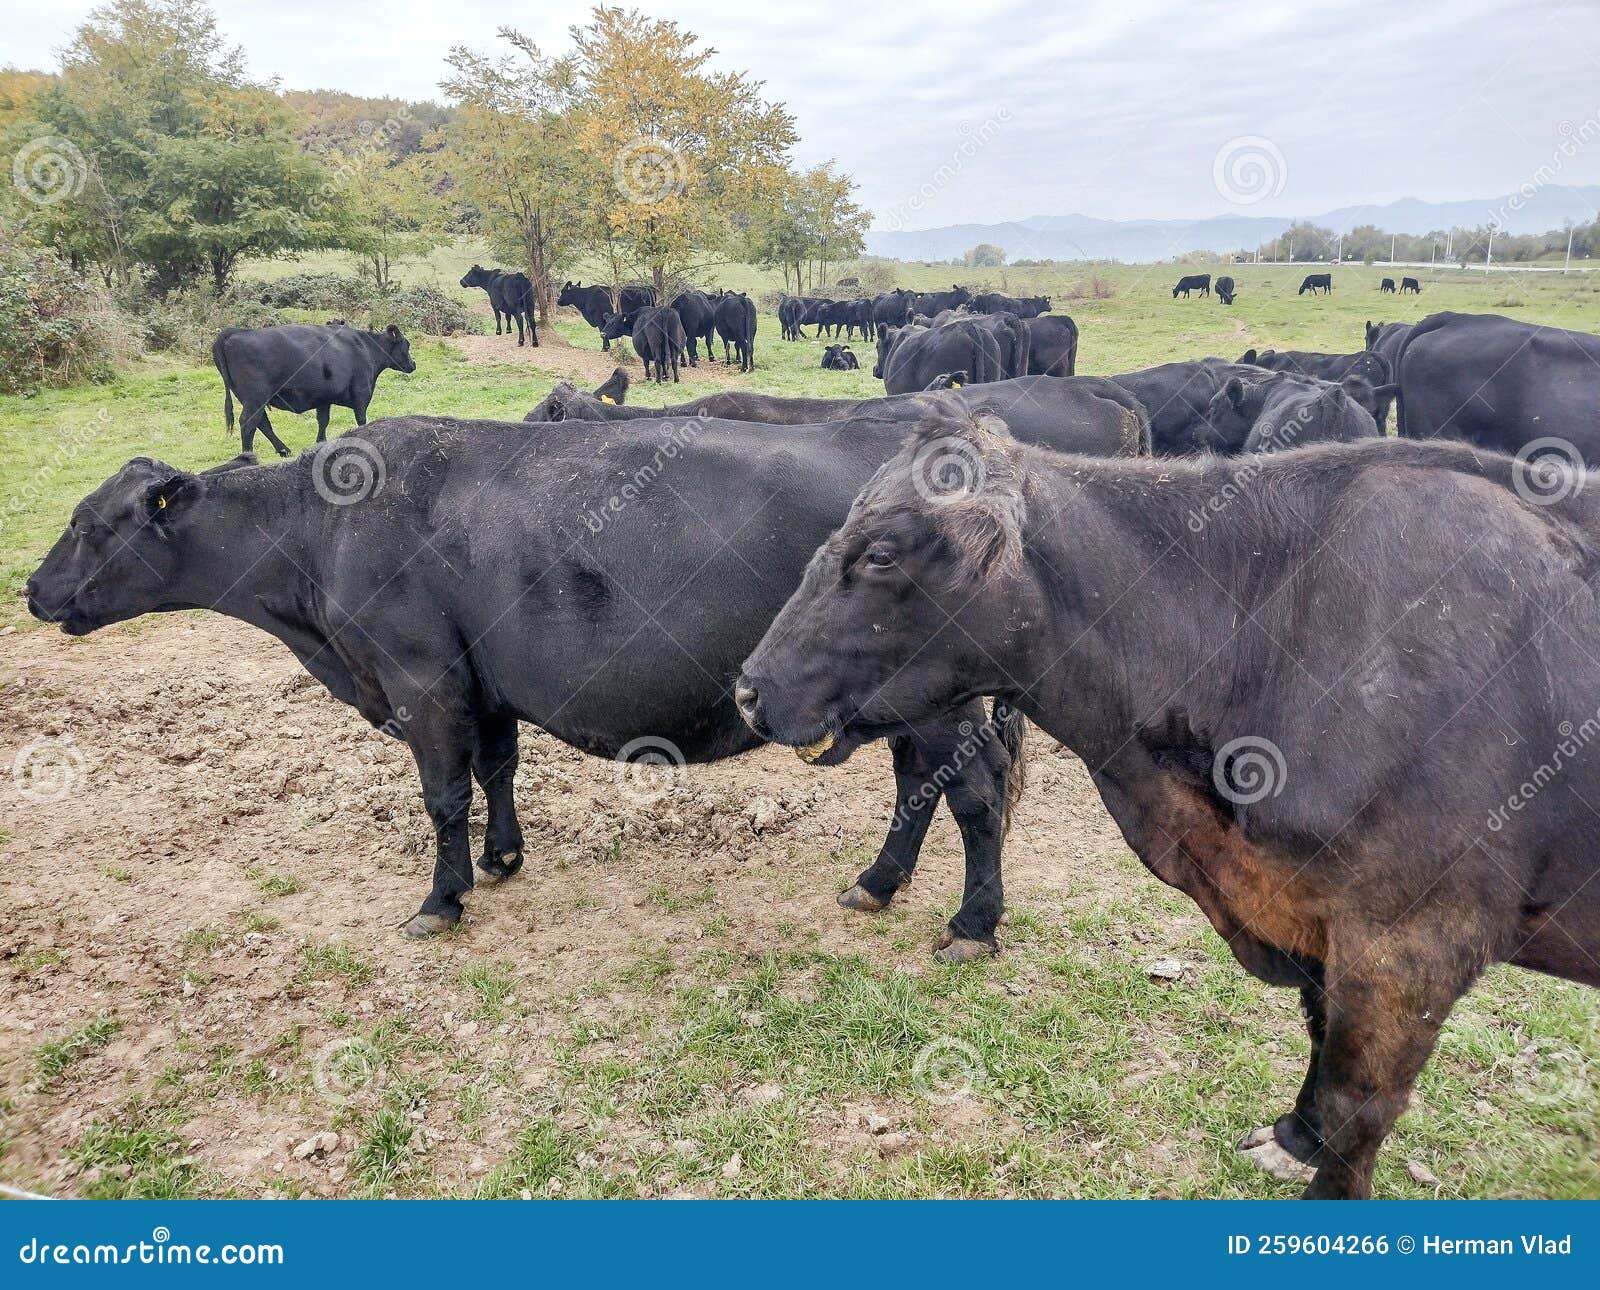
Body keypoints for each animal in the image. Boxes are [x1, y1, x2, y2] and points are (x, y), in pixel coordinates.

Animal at [28, 404, 1143, 961]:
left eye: (90, 524)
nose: (34, 589)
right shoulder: (478, 682)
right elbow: (497, 770)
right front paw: (504, 859)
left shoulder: (421, 678)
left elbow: (441, 794)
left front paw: (441, 898)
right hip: (906, 702)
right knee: (924, 786)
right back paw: (876, 884)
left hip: (937, 699)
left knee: (975, 796)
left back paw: (971, 925)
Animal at [211, 324, 415, 458]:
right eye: (407, 344)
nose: (413, 364)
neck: (367, 347)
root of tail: (235, 332)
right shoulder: (361, 392)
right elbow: (361, 420)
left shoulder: (324, 398)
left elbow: (323, 420)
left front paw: (320, 444)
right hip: (256, 397)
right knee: (249, 423)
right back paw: (248, 455)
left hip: (253, 399)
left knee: (263, 423)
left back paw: (284, 450)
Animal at [736, 424, 1600, 1199]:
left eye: (880, 554)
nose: (747, 689)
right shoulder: (1318, 918)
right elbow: (1319, 1029)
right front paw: (1295, 1136)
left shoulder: (1408, 942)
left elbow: (1358, 1110)